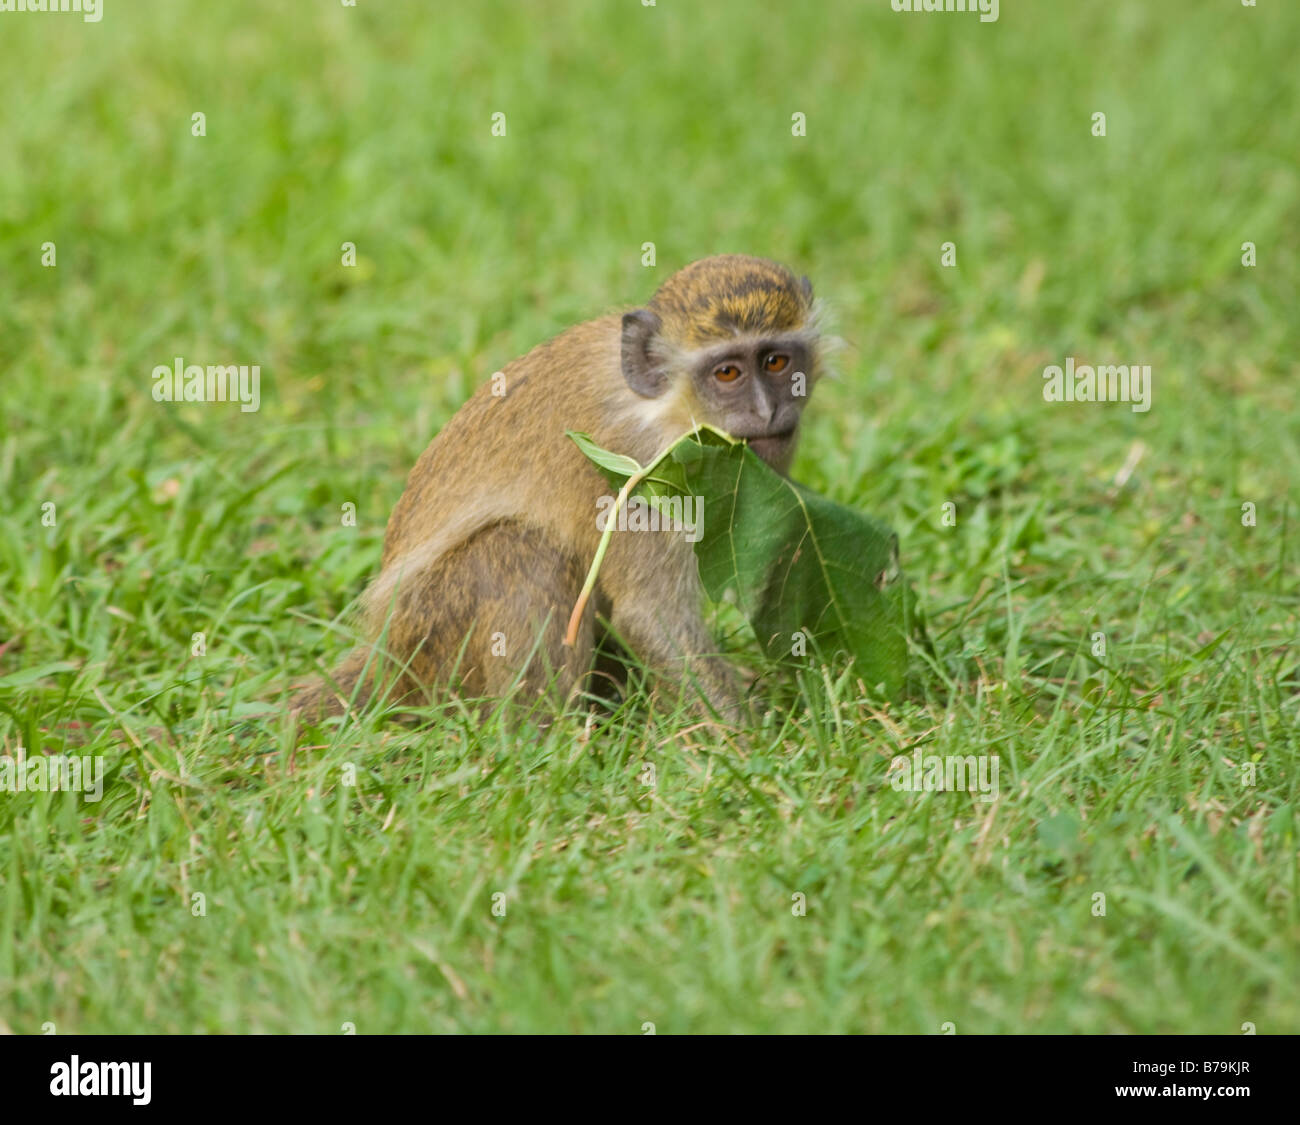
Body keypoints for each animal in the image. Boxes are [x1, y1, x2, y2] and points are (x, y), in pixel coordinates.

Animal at [291, 254, 826, 727]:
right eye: (727, 373)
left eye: (776, 362)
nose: (766, 412)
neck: (661, 406)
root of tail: (388, 665)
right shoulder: (637, 464)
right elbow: (651, 615)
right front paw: (751, 744)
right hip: (434, 644)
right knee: (520, 549)